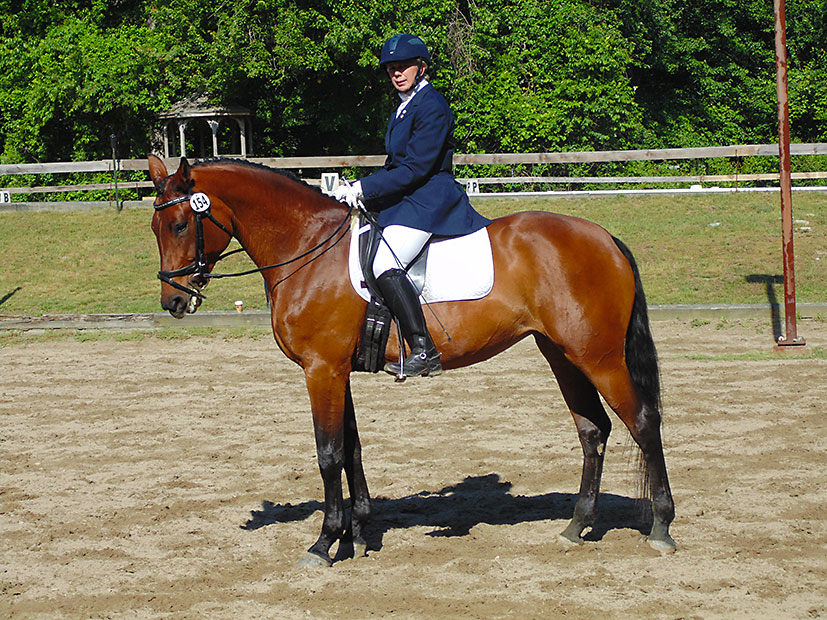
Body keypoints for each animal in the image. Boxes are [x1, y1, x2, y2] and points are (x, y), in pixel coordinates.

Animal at [148, 155, 676, 566]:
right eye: (155, 227)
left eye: (180, 224)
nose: (173, 301)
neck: (305, 250)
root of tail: (605, 238)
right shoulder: (337, 371)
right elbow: (352, 450)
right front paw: (359, 536)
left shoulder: (321, 370)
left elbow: (328, 454)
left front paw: (324, 543)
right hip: (562, 354)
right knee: (593, 431)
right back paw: (576, 525)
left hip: (599, 357)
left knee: (642, 423)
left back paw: (661, 528)